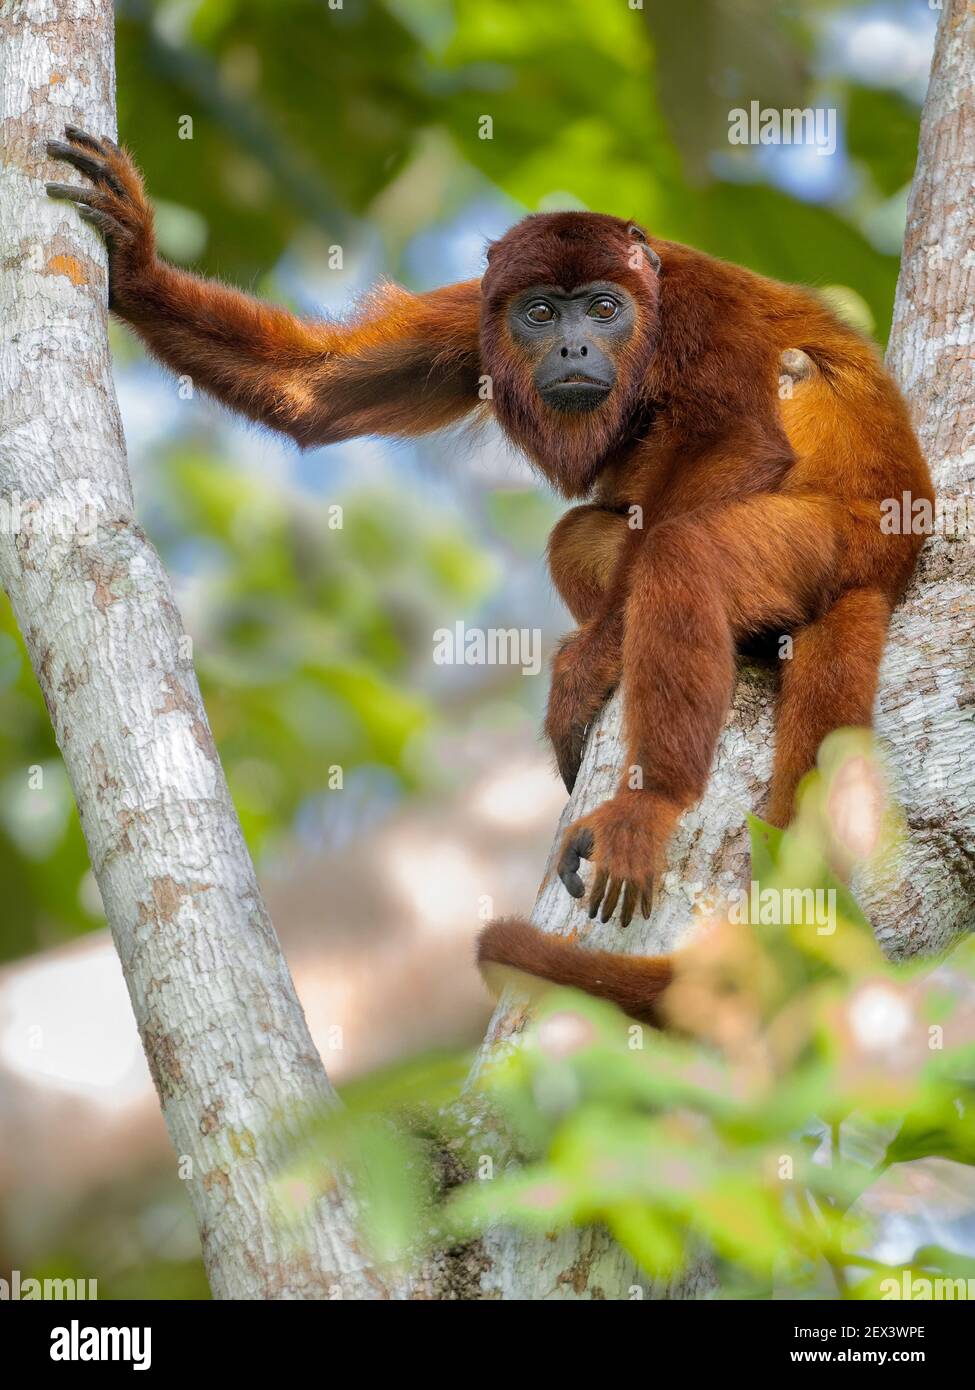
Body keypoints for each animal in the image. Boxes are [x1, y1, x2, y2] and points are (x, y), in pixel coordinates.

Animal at [47, 128, 932, 1027]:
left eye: (603, 310)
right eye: (539, 313)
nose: (574, 347)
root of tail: (894, 550)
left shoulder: (699, 312)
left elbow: (737, 445)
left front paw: (593, 664)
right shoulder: (478, 311)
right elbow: (318, 390)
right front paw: (138, 262)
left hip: (828, 541)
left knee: (689, 544)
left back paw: (651, 801)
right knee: (577, 534)